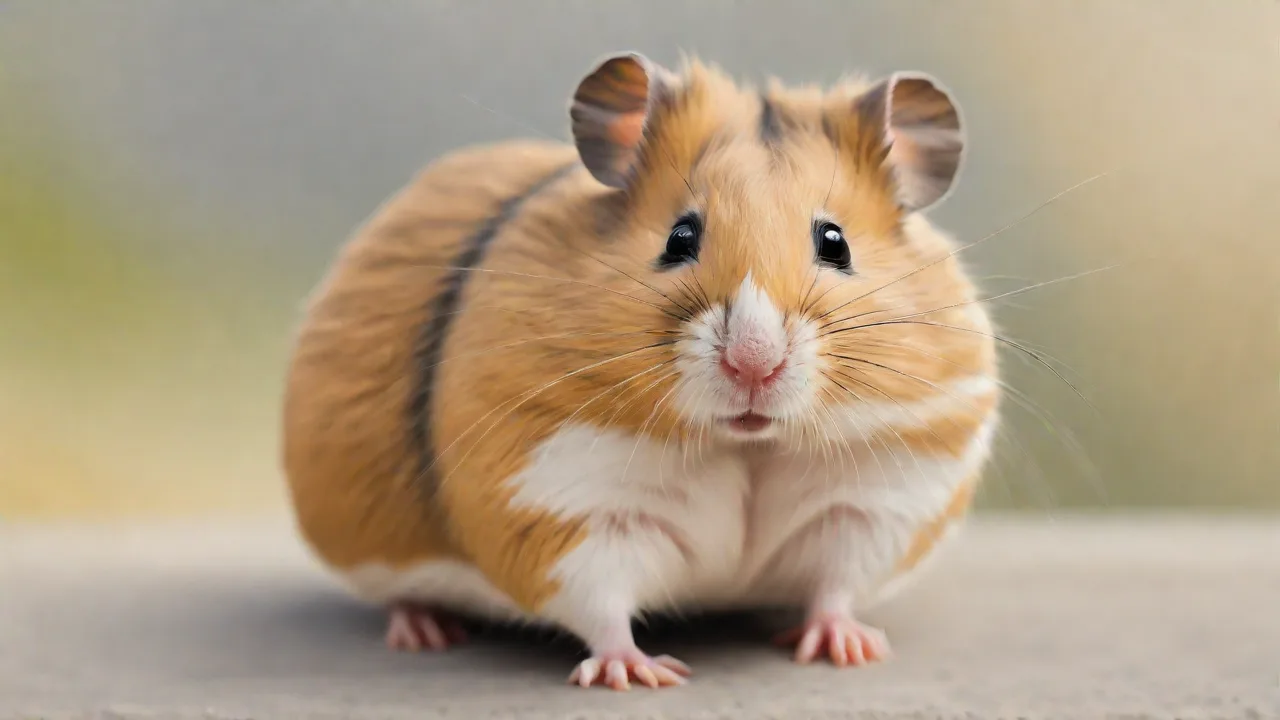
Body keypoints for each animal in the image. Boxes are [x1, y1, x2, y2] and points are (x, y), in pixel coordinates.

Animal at [282, 51, 999, 691]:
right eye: (680, 237)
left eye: (835, 243)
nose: (754, 365)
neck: (749, 445)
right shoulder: (560, 501)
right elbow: (600, 602)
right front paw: (642, 675)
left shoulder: (877, 502)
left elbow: (835, 586)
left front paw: (849, 650)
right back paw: (423, 631)